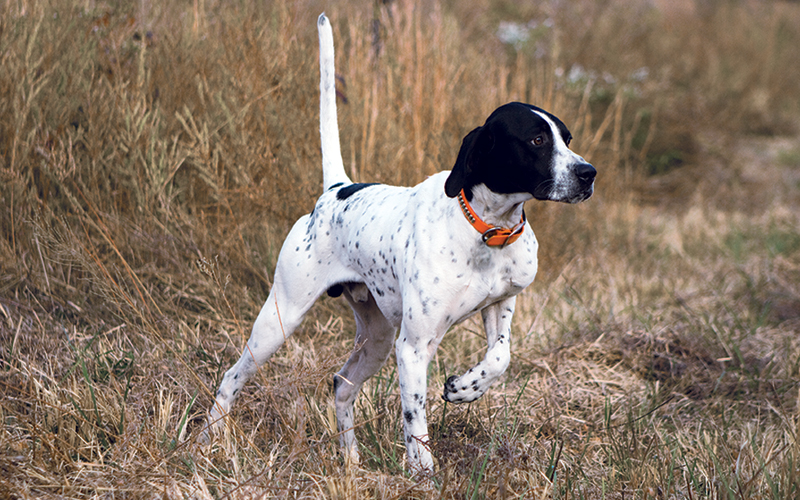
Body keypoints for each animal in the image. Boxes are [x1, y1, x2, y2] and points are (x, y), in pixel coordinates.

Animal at [203, 11, 596, 472]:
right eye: (536, 140)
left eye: (567, 138)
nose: (588, 174)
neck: (484, 229)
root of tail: (335, 190)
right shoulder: (412, 348)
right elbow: (415, 420)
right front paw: (423, 473)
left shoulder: (500, 303)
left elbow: (501, 357)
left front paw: (465, 387)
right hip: (281, 319)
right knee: (232, 377)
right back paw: (207, 441)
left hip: (376, 338)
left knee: (341, 385)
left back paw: (351, 462)